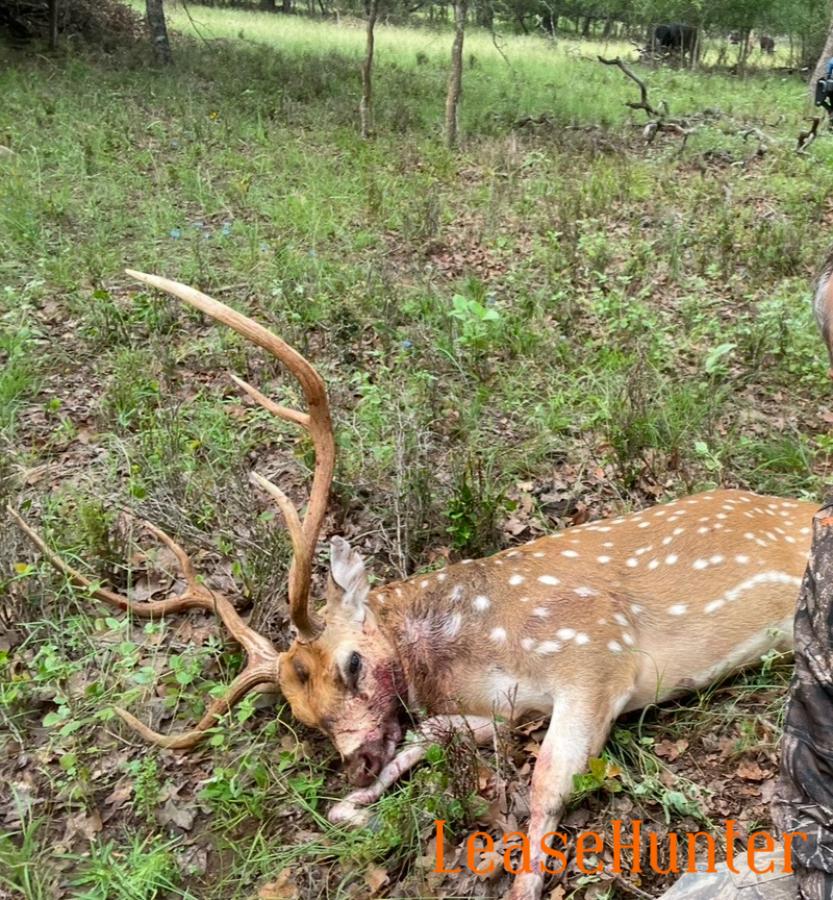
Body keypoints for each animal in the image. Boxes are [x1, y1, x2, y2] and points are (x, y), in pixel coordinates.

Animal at [8, 270, 819, 900]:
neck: (482, 649)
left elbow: (544, 790)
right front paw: (358, 804)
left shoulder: (596, 657)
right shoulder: (504, 706)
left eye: (352, 663)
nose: (354, 762)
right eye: (302, 716)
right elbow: (441, 734)